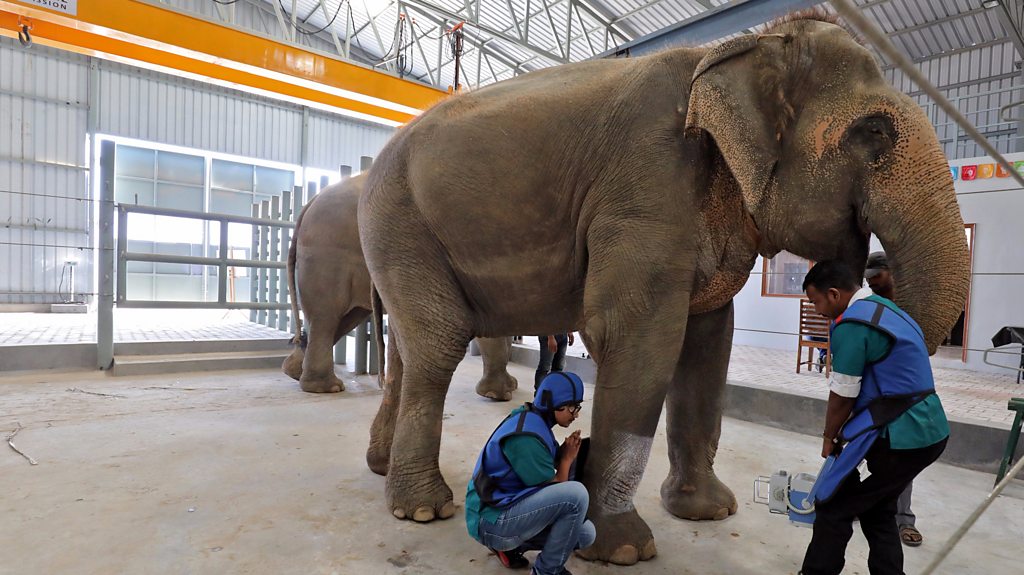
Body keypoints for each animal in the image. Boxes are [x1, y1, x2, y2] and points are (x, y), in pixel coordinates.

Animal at [281, 174, 519, 399]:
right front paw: (500, 395)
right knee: (326, 317)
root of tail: (310, 204)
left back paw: (294, 372)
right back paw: (325, 388)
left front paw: (510, 388)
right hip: (327, 255)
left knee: (345, 317)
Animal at [358, 13, 969, 565]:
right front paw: (624, 551)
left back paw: (382, 470)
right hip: (399, 224)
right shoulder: (646, 182)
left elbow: (708, 345)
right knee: (437, 345)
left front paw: (709, 512)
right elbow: (636, 337)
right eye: (876, 131)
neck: (744, 47)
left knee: (408, 350)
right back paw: (421, 510)